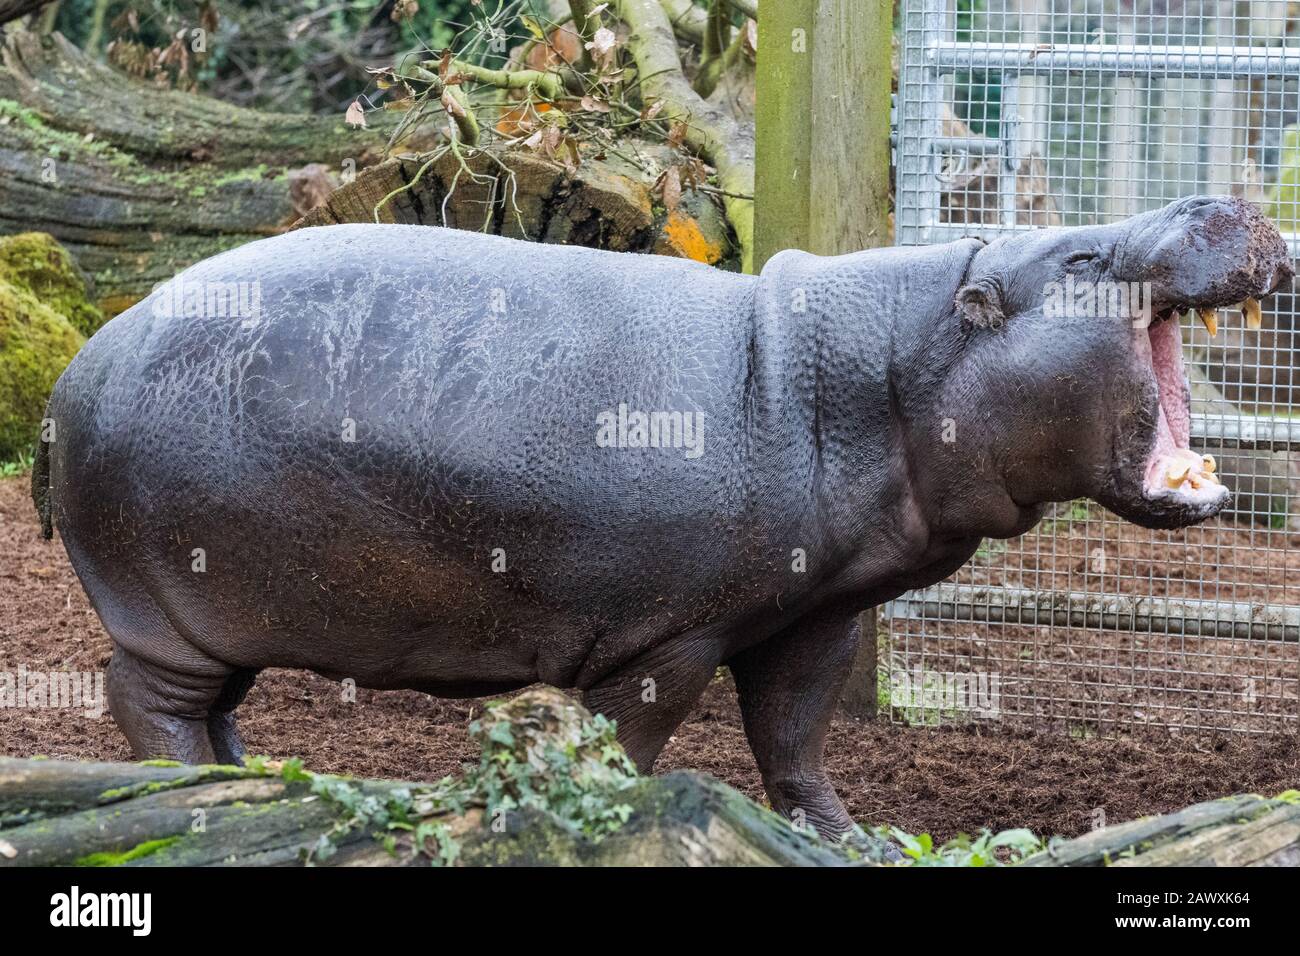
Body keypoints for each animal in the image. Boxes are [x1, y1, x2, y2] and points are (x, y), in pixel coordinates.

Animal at [31, 195, 1291, 838]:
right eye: (1081, 250)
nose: (1229, 198)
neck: (886, 360)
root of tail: (82, 356)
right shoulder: (664, 635)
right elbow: (633, 740)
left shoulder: (818, 612)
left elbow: (795, 734)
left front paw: (845, 840)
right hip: (162, 608)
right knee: (143, 701)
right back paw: (186, 797)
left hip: (223, 610)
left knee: (214, 712)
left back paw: (253, 781)